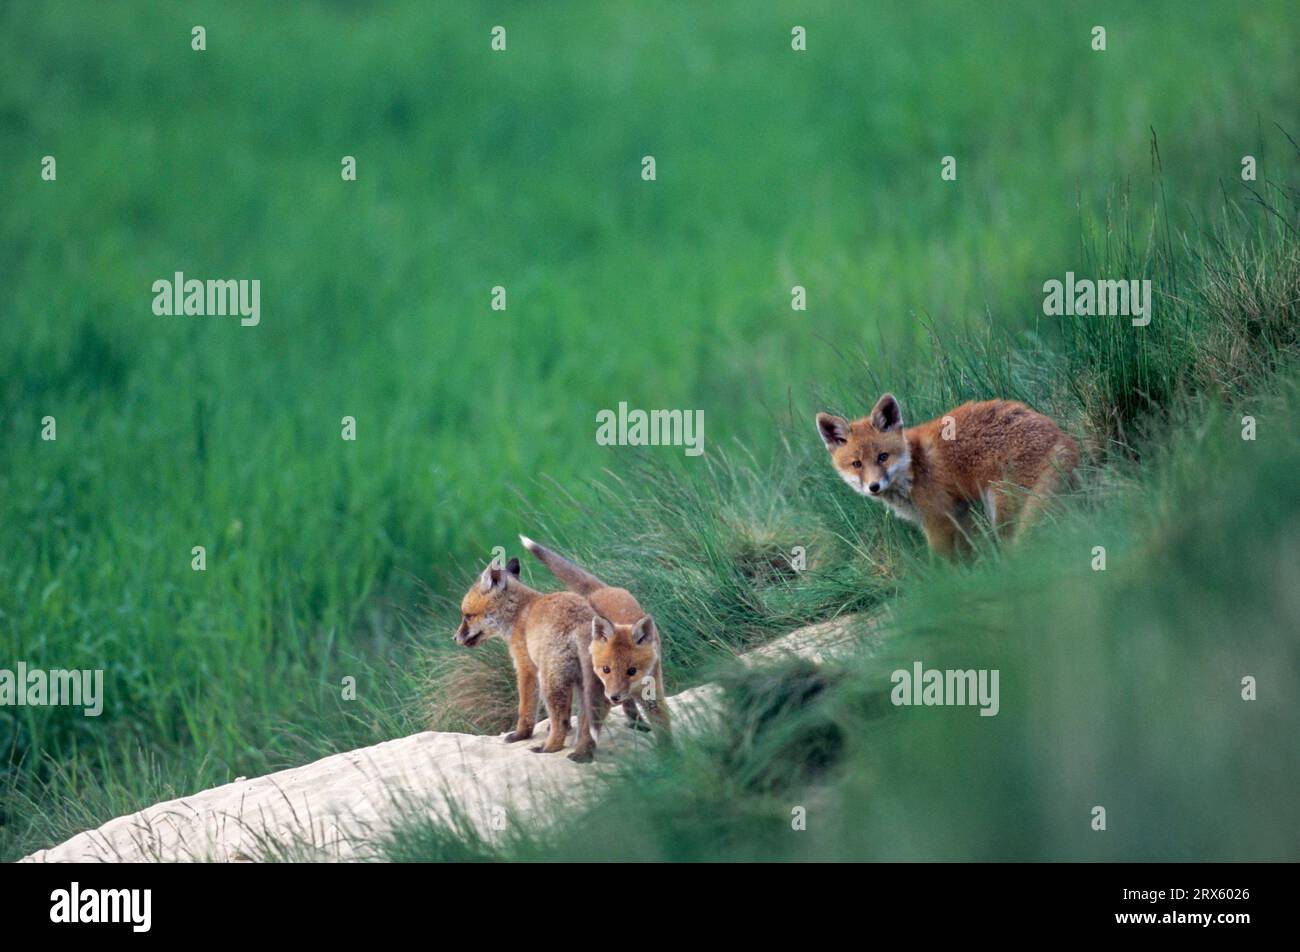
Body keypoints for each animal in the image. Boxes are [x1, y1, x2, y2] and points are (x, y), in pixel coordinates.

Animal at [453, 556, 606, 762]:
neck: (520, 613)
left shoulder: (526, 667)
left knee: (560, 721)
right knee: (588, 722)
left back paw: (548, 748)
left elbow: (525, 709)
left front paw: (520, 735)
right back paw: (583, 753)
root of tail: (583, 620)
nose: (454, 638)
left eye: (467, 616)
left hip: (550, 681)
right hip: (589, 683)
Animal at [816, 393, 1078, 557]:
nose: (874, 487)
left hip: (1002, 509)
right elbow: (966, 553)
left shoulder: (938, 520)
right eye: (857, 464)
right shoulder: (959, 515)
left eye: (883, 457)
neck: (912, 468)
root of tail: (1061, 436)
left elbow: (942, 563)